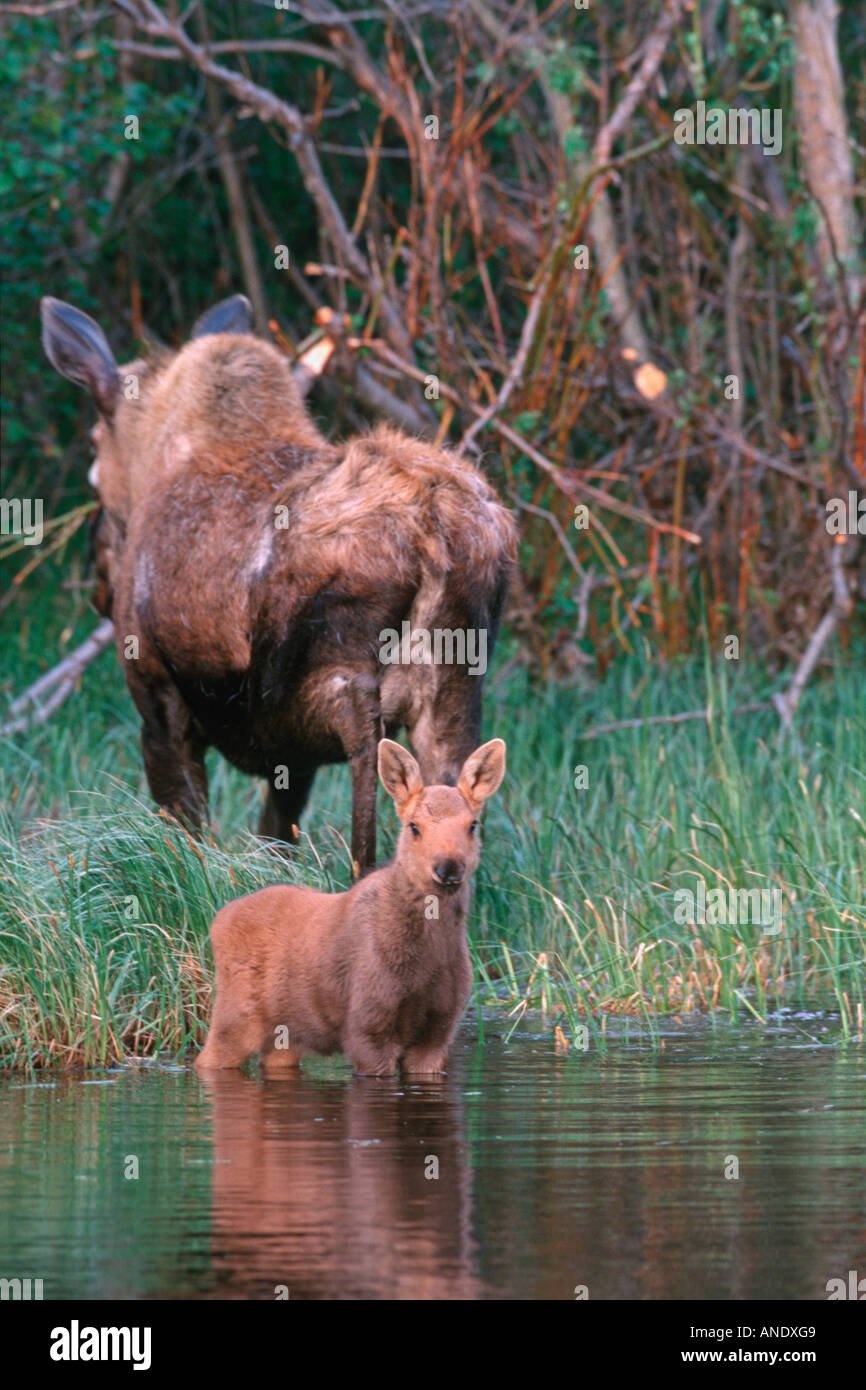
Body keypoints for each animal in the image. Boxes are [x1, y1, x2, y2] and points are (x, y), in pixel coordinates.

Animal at [40, 294, 515, 870]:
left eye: (93, 447)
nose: (98, 586)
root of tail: (440, 524)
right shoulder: (287, 755)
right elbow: (275, 831)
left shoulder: (156, 690)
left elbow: (186, 820)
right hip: (455, 686)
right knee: (454, 778)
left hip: (333, 669)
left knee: (370, 745)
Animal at [196, 736, 506, 1076]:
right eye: (414, 826)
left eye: (472, 825)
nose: (448, 867)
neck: (429, 957)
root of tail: (218, 920)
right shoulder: (366, 1024)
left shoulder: (439, 1031)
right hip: (234, 1017)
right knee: (204, 1059)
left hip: (285, 1036)